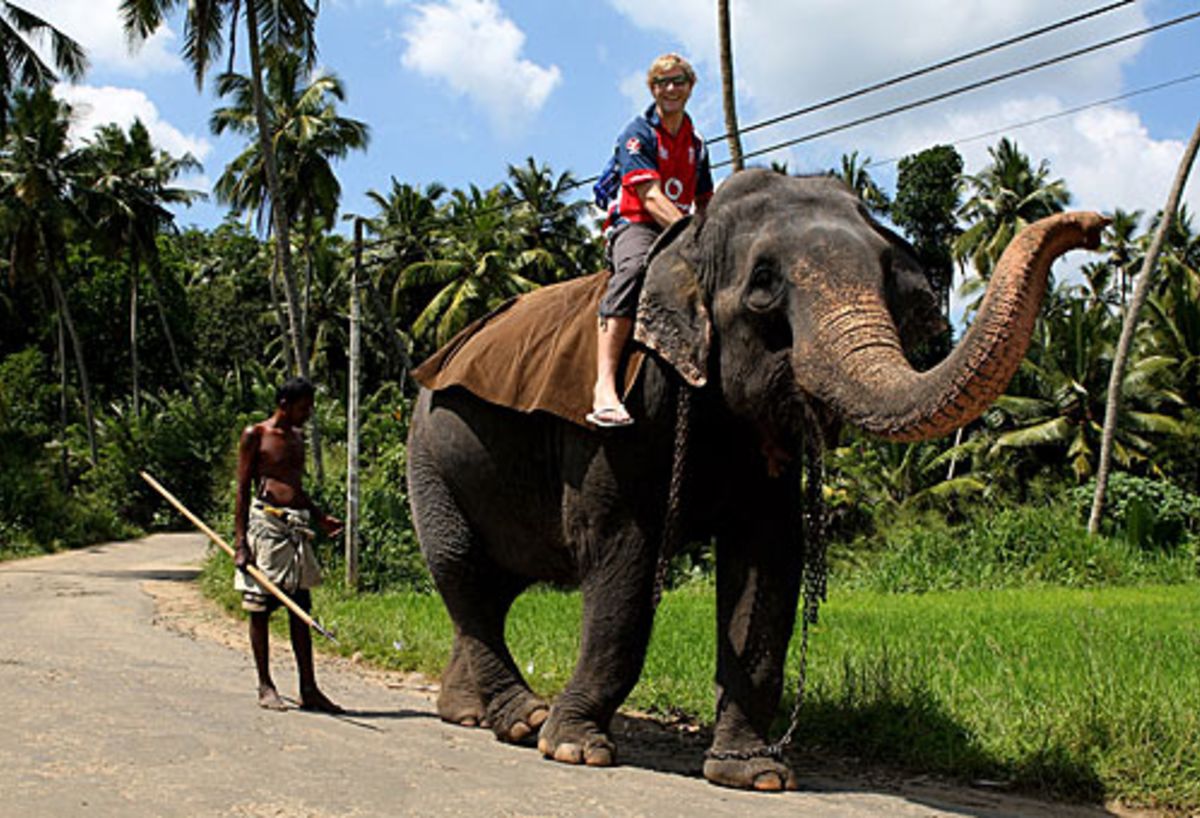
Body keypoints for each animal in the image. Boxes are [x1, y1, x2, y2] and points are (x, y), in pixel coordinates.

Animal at [405, 168, 1107, 790]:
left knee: (493, 586)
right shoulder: (614, 426)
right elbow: (621, 558)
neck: (689, 242)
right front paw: (577, 750)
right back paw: (524, 721)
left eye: (887, 275)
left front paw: (754, 775)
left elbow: (768, 562)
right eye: (764, 285)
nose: (1093, 225)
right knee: (463, 566)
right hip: (428, 458)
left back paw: (470, 715)